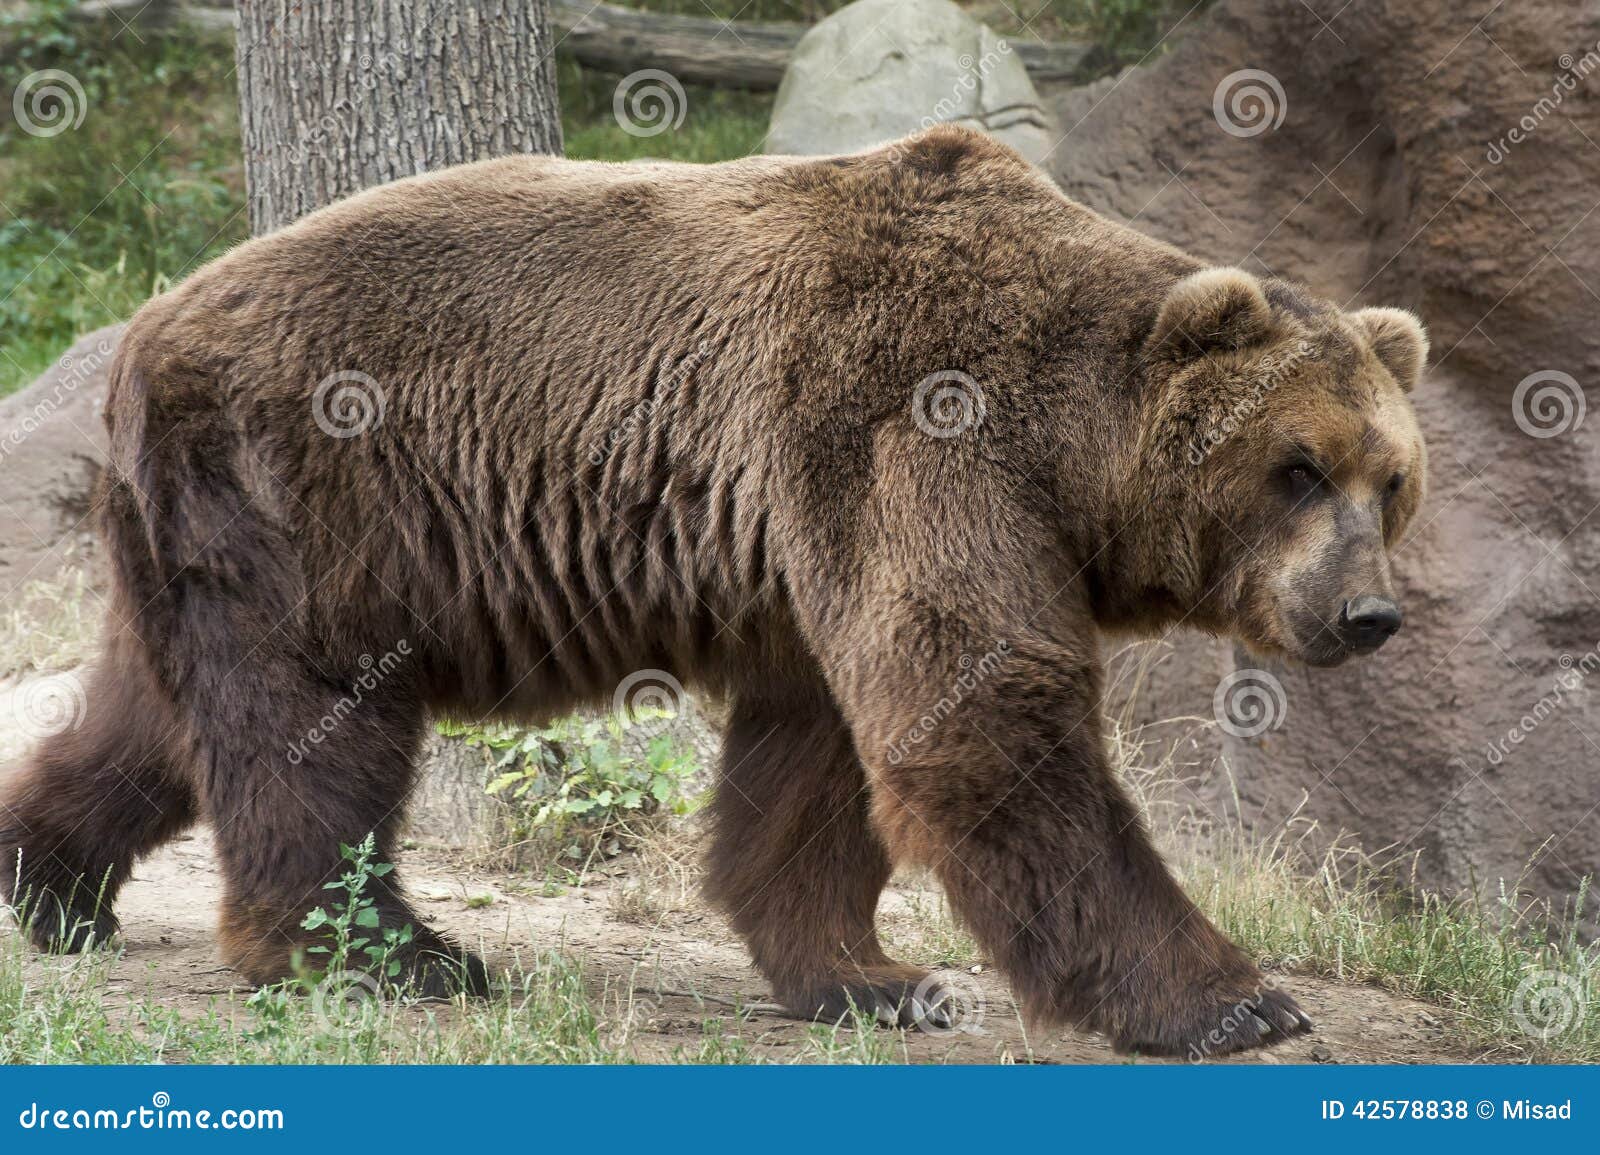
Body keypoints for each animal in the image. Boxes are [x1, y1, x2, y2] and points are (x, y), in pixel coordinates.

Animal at [0, 125, 1427, 1056]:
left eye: (1393, 480)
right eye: (1298, 469)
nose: (1368, 614)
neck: (1067, 440)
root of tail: (143, 328)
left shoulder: (809, 542)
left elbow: (822, 758)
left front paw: (873, 976)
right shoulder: (917, 426)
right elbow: (983, 710)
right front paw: (1232, 999)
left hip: (195, 533)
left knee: (153, 713)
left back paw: (51, 883)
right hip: (310, 492)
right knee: (312, 718)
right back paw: (388, 953)